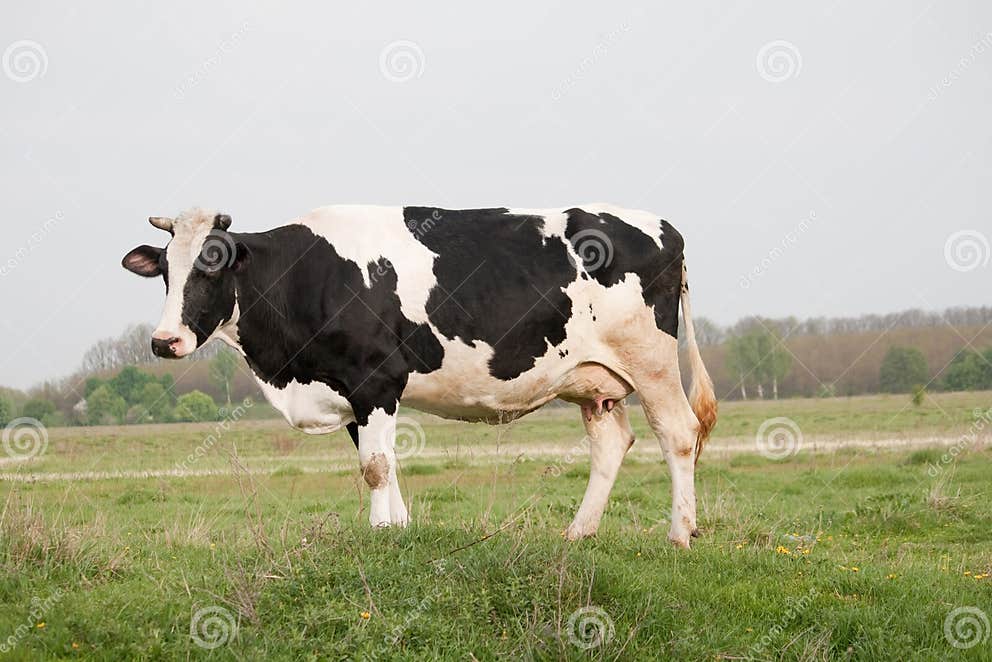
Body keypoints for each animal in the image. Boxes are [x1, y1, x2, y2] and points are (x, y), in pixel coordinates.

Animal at [122, 204, 717, 548]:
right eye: (167, 271)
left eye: (213, 264)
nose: (164, 341)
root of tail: (663, 227)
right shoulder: (353, 391)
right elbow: (382, 461)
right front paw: (400, 530)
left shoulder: (376, 379)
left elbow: (376, 466)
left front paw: (381, 533)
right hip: (594, 381)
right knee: (611, 443)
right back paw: (578, 533)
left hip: (651, 362)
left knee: (677, 433)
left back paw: (679, 534)